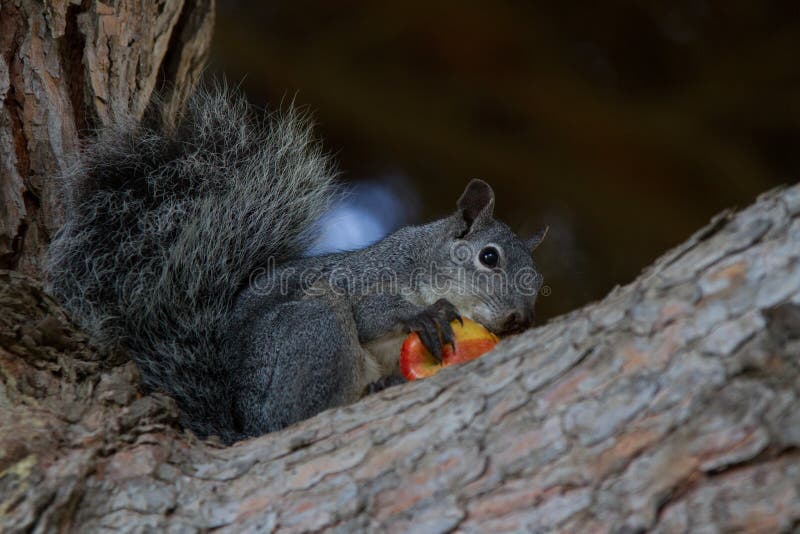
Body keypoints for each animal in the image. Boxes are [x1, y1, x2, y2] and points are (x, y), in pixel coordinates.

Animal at [46, 87, 546, 443]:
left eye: (539, 283)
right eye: (488, 257)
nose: (518, 320)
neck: (425, 262)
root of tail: (247, 428)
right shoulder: (370, 274)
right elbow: (369, 312)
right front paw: (425, 314)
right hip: (311, 329)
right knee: (300, 413)